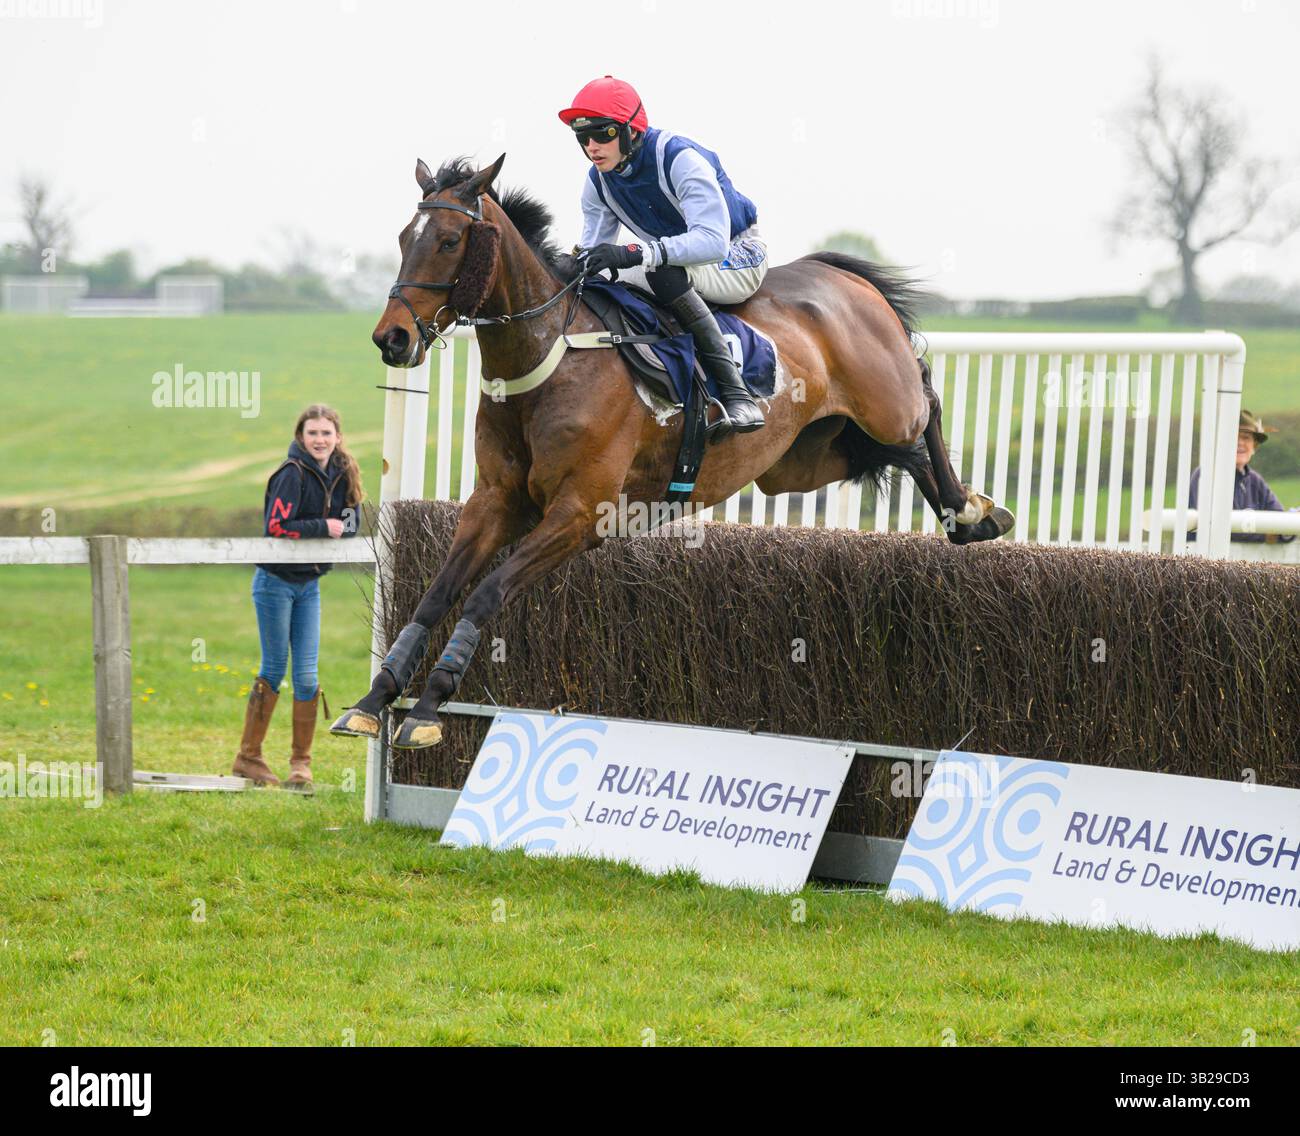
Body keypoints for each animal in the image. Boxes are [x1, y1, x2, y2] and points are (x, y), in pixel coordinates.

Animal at [331, 153, 1013, 749]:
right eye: (404, 237)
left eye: (449, 240)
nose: (392, 338)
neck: (548, 357)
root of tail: (841, 274)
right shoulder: (497, 501)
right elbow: (437, 593)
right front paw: (373, 701)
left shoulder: (582, 515)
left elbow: (484, 594)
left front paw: (426, 709)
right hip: (803, 460)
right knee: (899, 452)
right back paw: (968, 513)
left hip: (886, 402)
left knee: (926, 398)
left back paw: (969, 512)